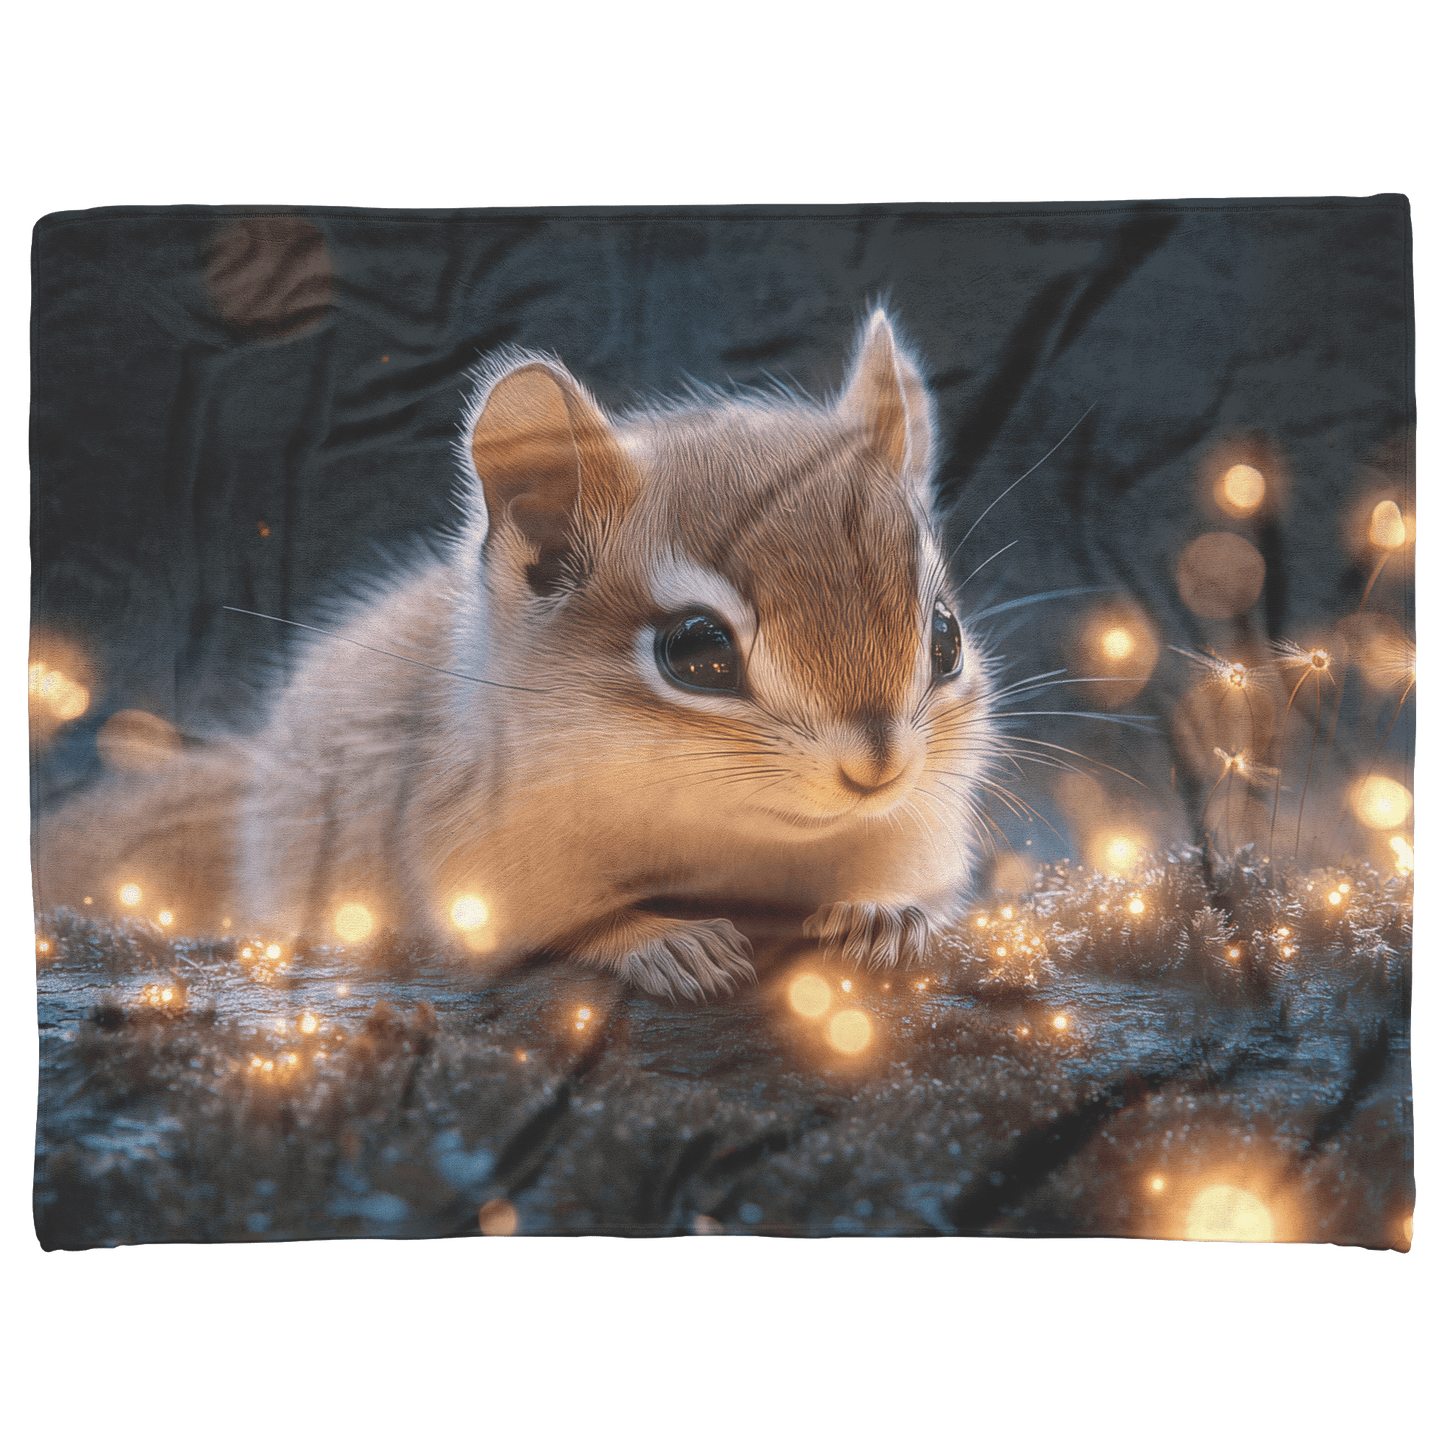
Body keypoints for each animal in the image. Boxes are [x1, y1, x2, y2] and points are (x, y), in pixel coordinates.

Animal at [33, 310, 998, 1001]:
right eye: (697, 652)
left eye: (944, 635)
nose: (878, 766)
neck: (738, 836)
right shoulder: (471, 846)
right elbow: (550, 925)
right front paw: (659, 938)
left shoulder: (919, 821)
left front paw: (888, 915)